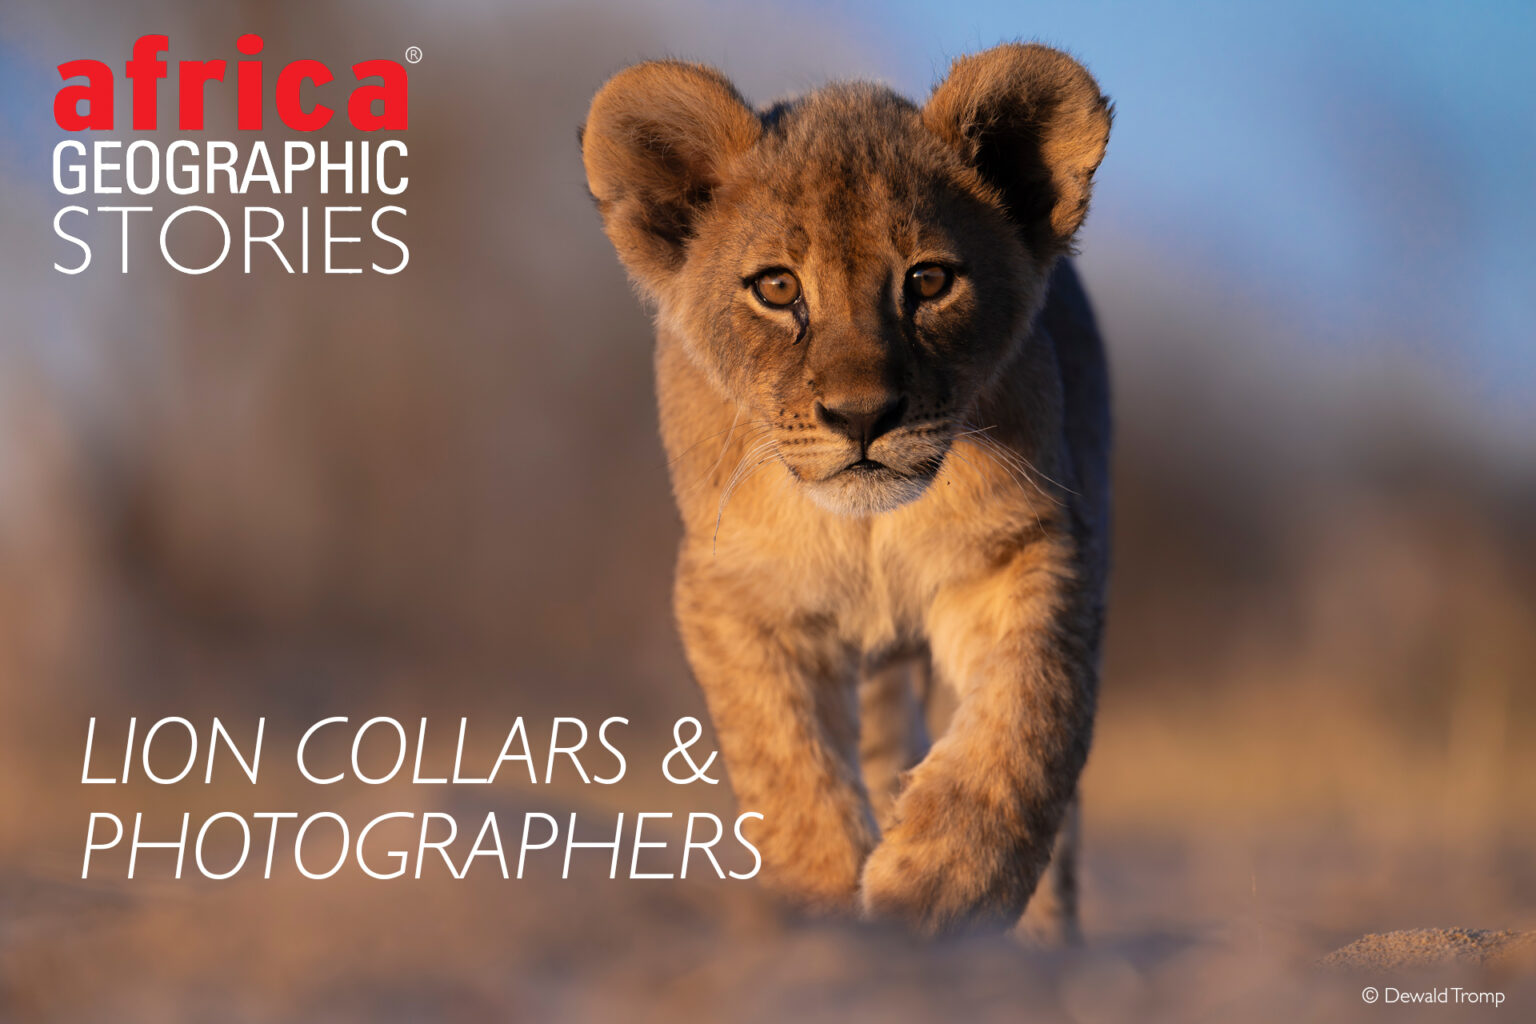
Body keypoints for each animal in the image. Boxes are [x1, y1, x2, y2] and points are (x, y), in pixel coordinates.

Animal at [581, 43, 1111, 938]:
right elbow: (784, 764)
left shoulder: (1029, 548)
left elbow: (1023, 727)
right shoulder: (735, 591)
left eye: (928, 282)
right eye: (778, 288)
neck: (867, 532)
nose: (862, 415)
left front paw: (938, 891)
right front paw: (829, 917)